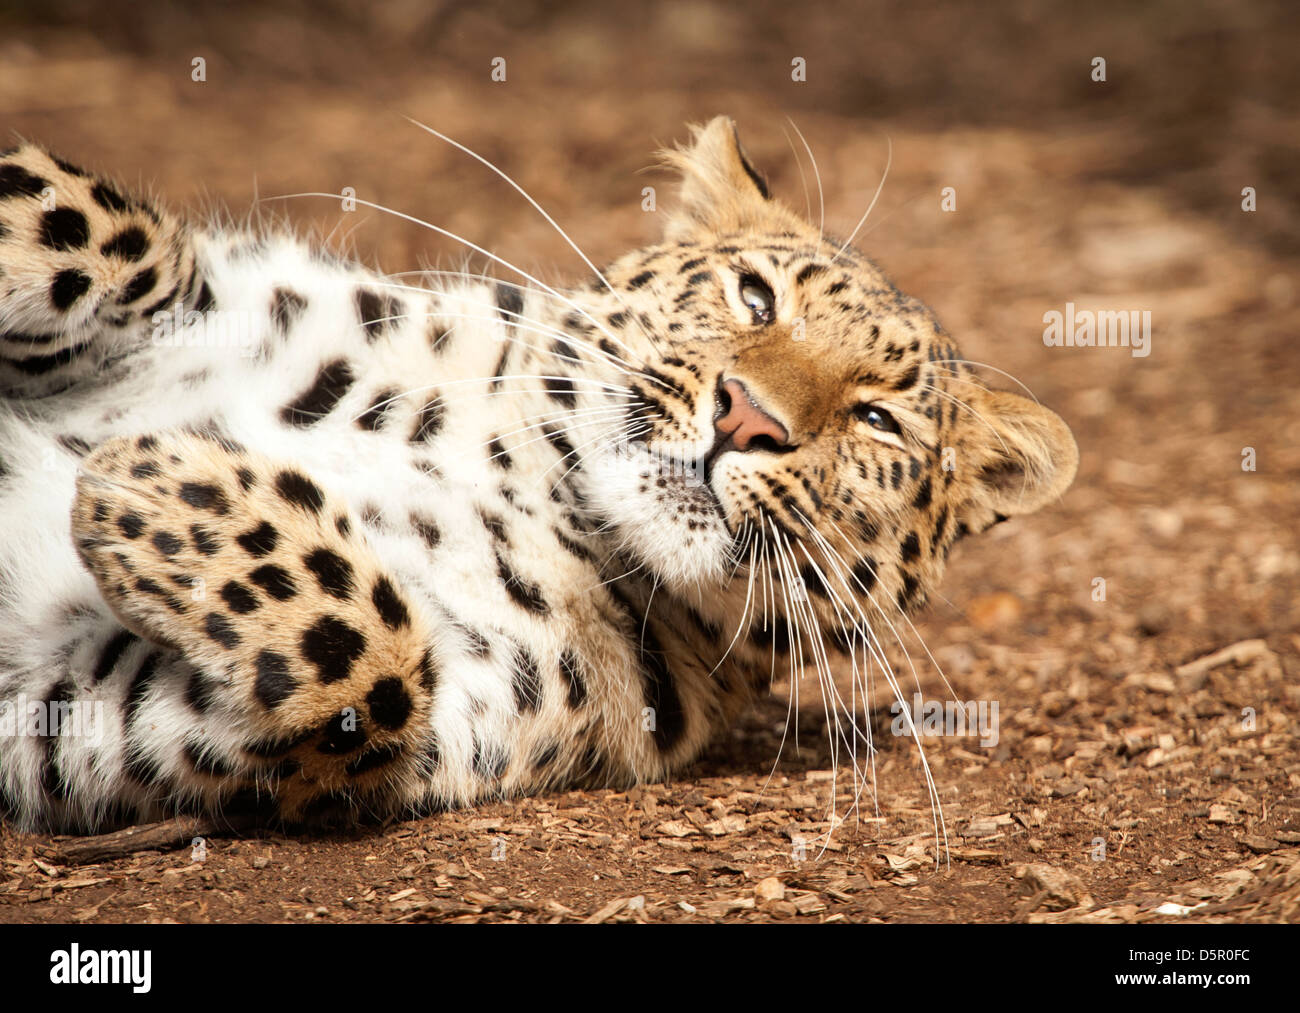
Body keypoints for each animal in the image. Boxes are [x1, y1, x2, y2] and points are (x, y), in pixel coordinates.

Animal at [0, 117, 1078, 834]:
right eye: (755, 296)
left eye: (877, 419)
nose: (747, 415)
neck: (527, 469)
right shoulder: (223, 292)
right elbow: (87, 219)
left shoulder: (95, 709)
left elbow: (370, 657)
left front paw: (152, 479)